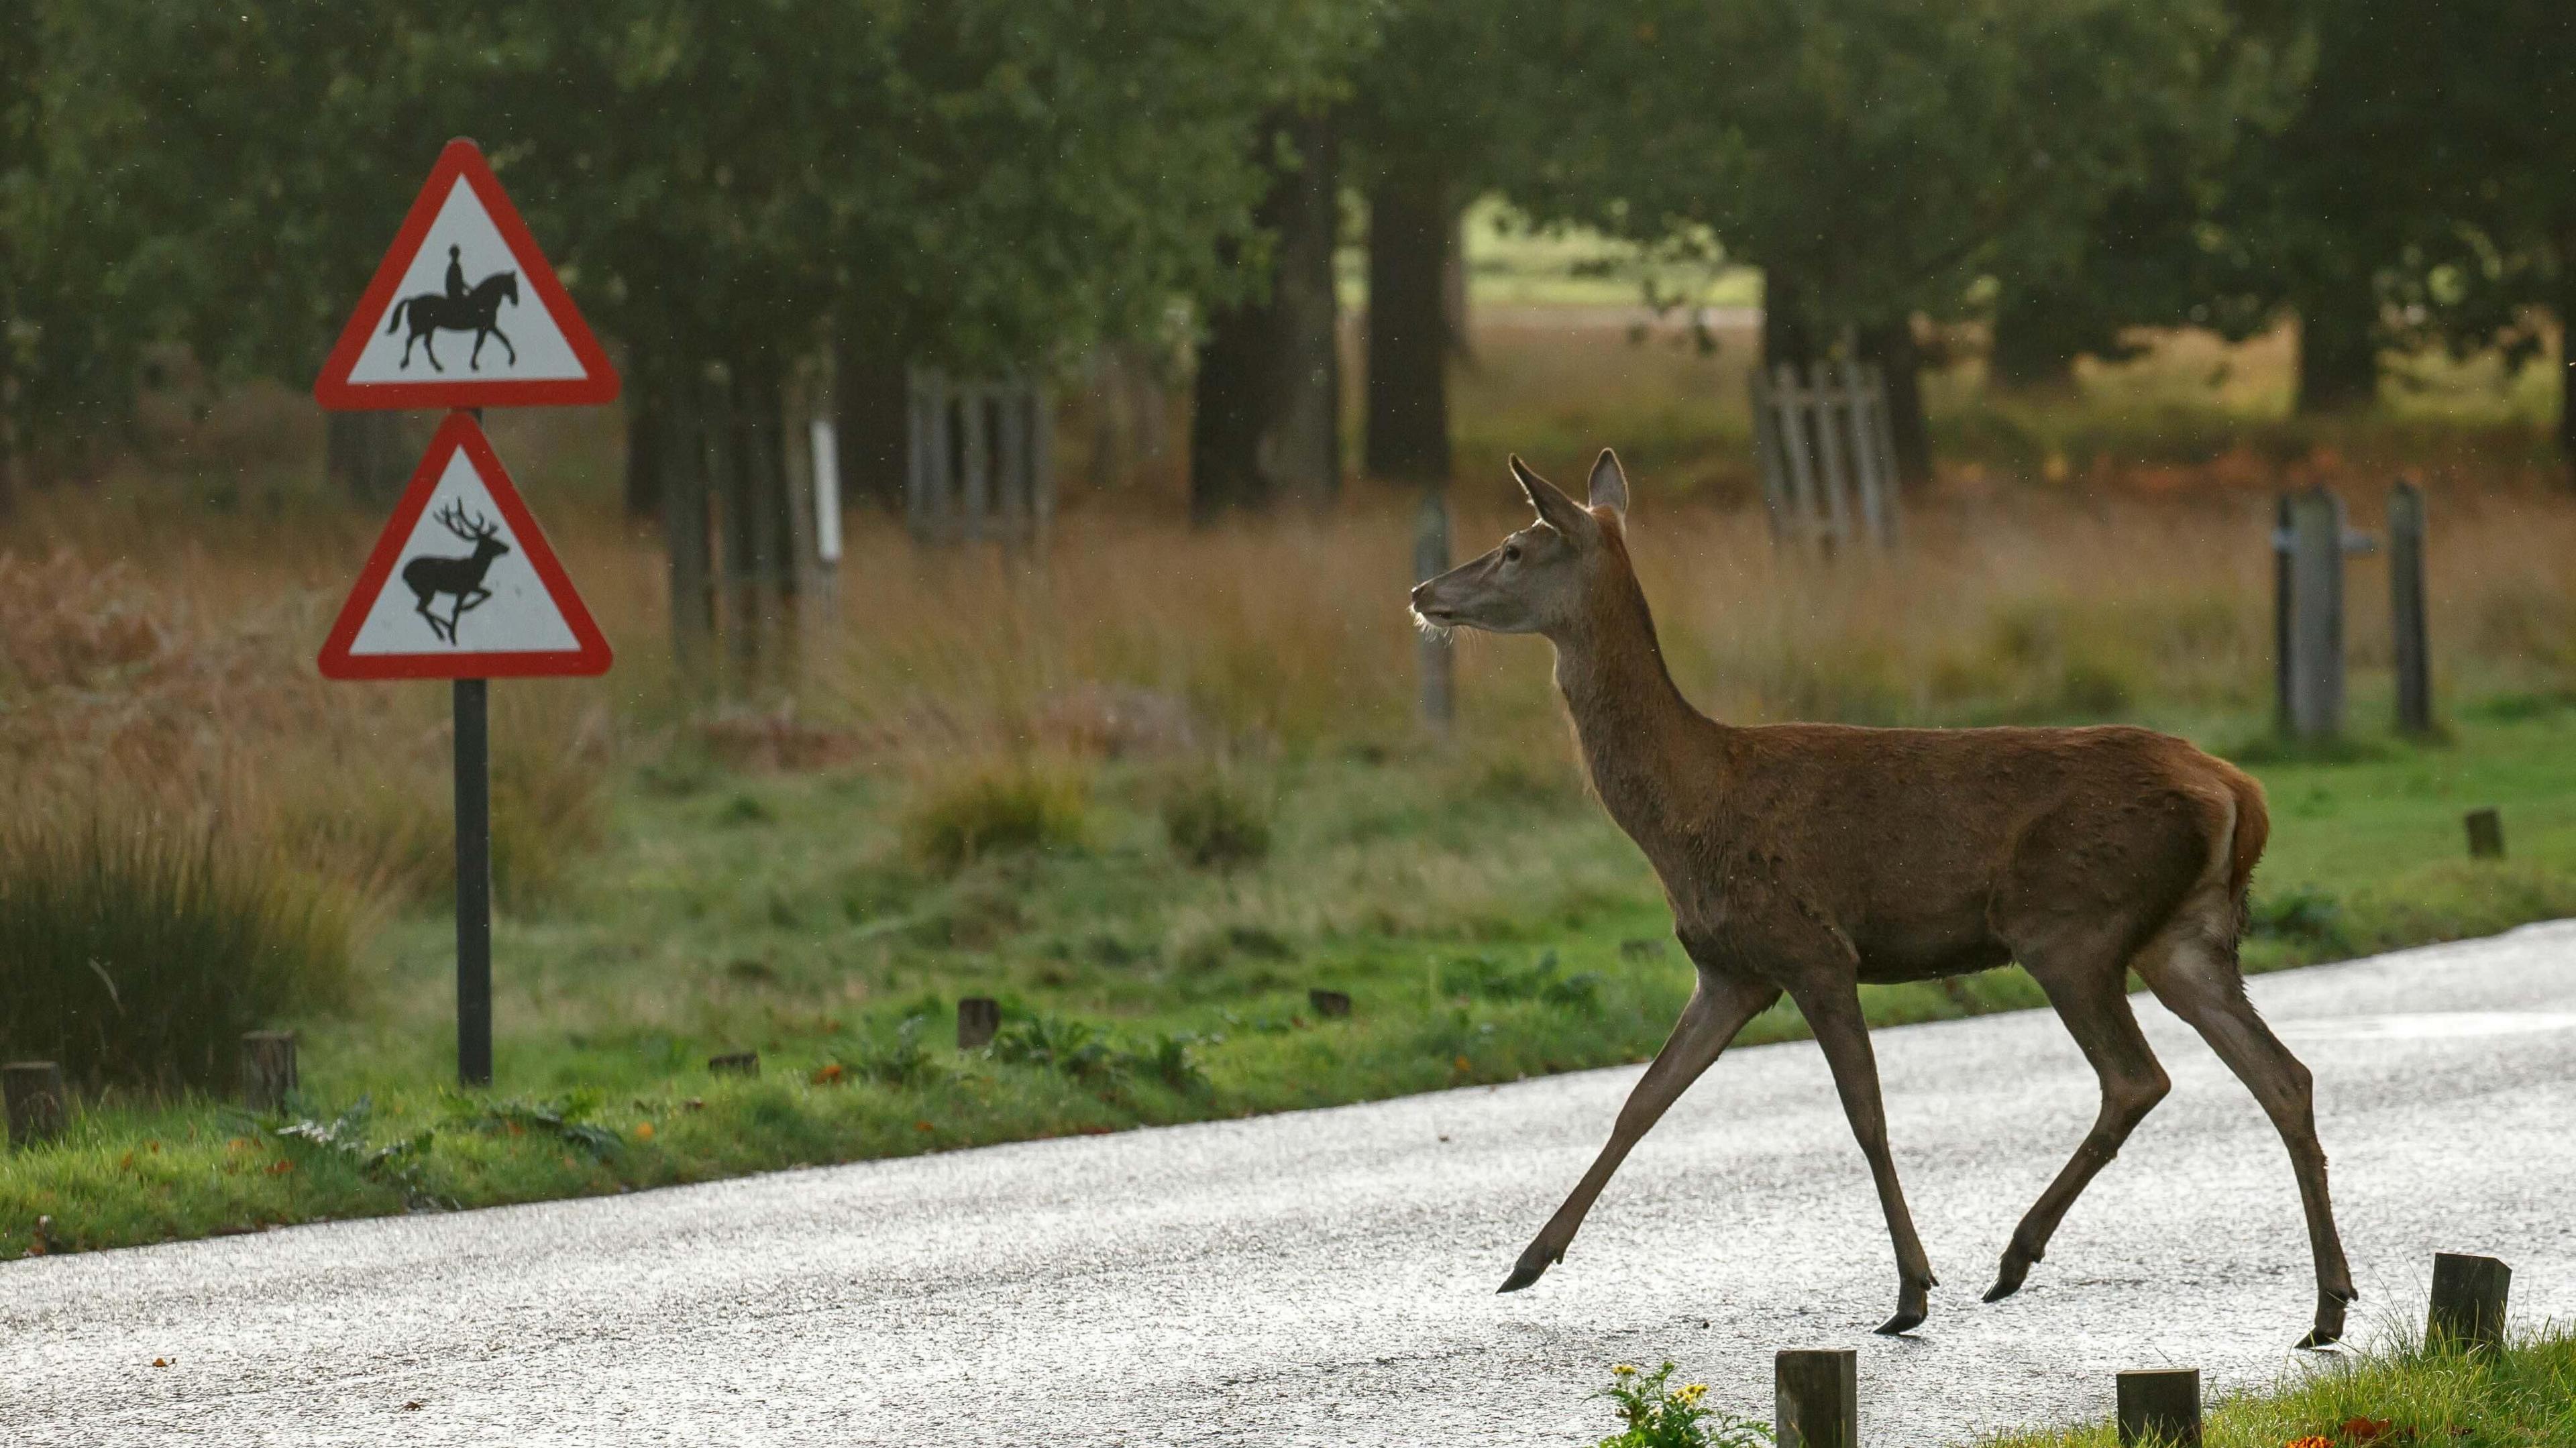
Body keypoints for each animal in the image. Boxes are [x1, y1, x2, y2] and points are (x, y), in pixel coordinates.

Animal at [403, 501, 511, 645]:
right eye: (492, 542)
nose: (507, 547)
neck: (476, 569)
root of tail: (404, 574)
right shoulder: (465, 588)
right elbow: (461, 607)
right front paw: (454, 635)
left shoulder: (469, 588)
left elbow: (486, 594)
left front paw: (453, 634)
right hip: (427, 588)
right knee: (420, 608)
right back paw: (443, 629)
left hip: (420, 590)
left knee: (421, 608)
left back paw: (444, 628)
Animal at [1408, 449, 2355, 1348]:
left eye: (1514, 546)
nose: (1423, 592)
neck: (1691, 807)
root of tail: (2237, 790)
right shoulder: (1730, 969)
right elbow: (1641, 1101)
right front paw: (1528, 1259)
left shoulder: (1814, 947)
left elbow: (1866, 1115)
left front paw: (1911, 1291)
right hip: (2186, 936)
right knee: (2284, 1075)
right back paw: (2328, 1305)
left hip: (2070, 923)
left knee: (2137, 1076)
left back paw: (2015, 1256)